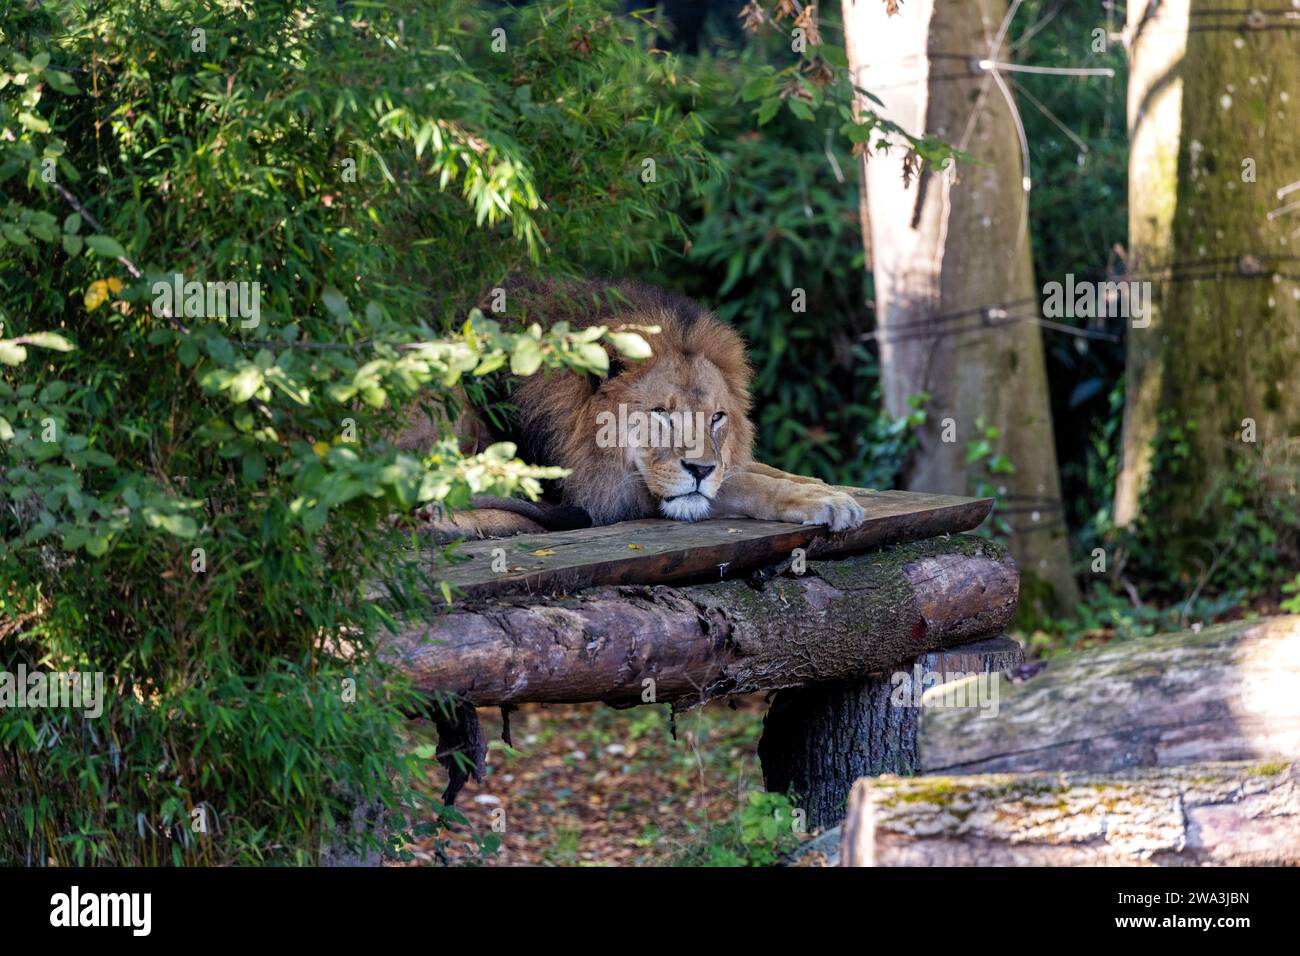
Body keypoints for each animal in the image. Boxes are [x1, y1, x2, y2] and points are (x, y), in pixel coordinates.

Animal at [397, 278, 866, 537]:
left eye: (717, 417)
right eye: (661, 413)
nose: (700, 469)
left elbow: (748, 470)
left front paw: (828, 485)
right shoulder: (608, 493)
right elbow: (741, 486)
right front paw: (826, 501)